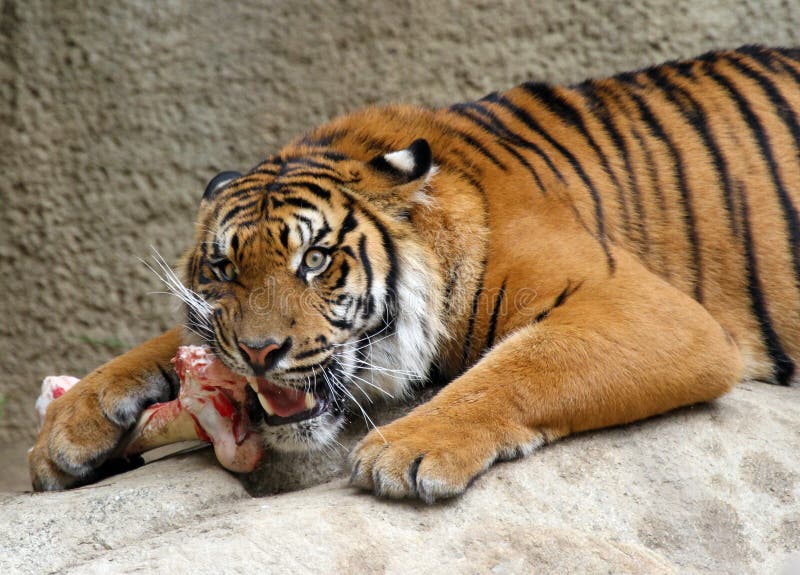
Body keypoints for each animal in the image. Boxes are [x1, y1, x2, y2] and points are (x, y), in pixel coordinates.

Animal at [30, 46, 800, 501]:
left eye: (315, 260)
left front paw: (406, 450)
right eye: (223, 268)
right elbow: (161, 344)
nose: (259, 352)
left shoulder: (645, 306)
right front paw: (67, 427)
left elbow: (519, 367)